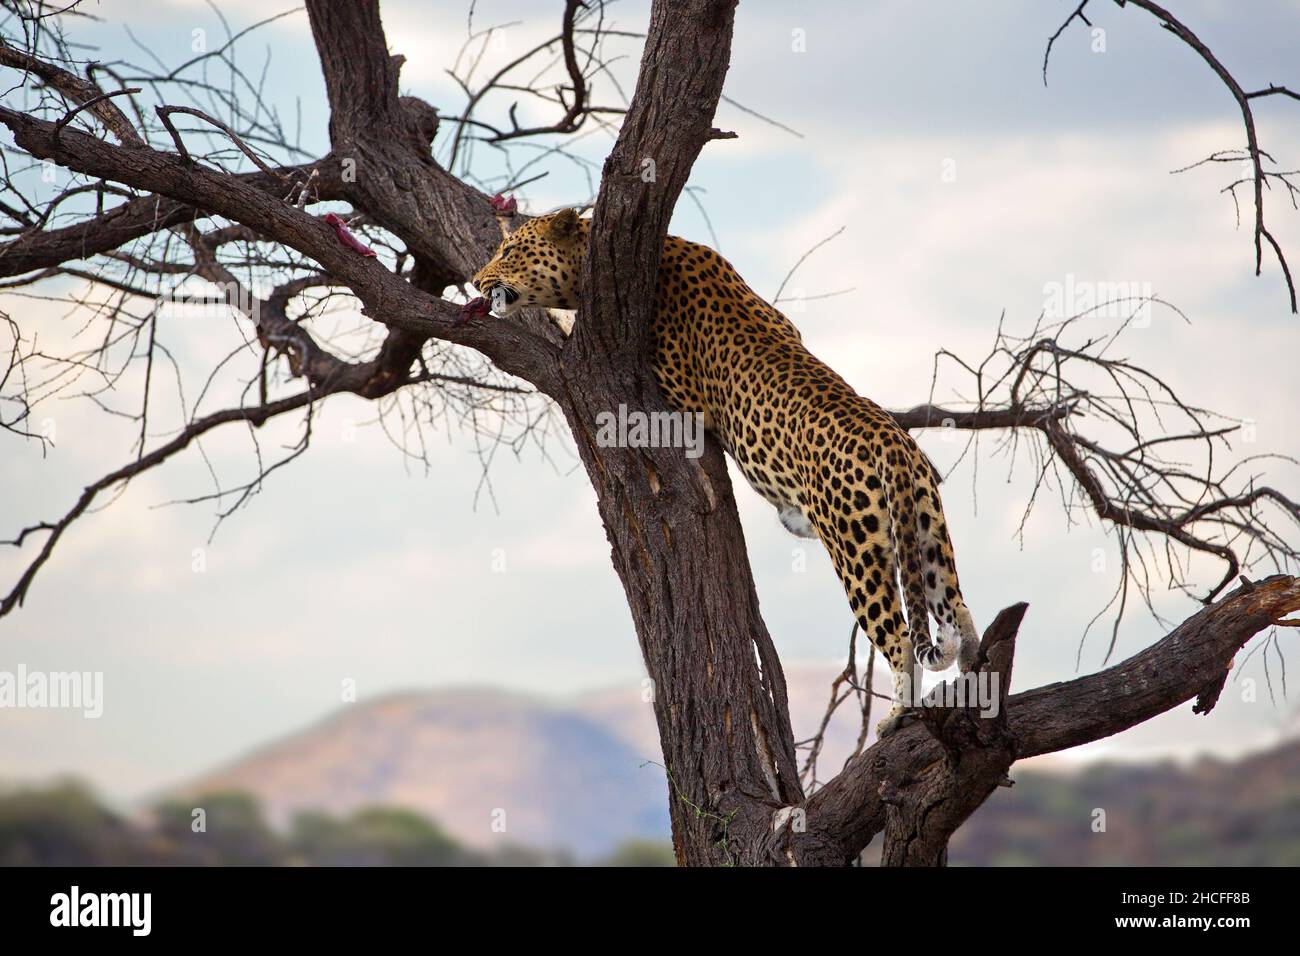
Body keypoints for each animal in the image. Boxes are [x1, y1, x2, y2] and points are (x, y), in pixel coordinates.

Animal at [468, 207, 980, 737]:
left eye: (510, 251)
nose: (477, 280)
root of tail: (892, 441)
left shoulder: (680, 402)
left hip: (855, 550)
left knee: (898, 634)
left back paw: (899, 715)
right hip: (928, 530)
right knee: (958, 611)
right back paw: (974, 683)